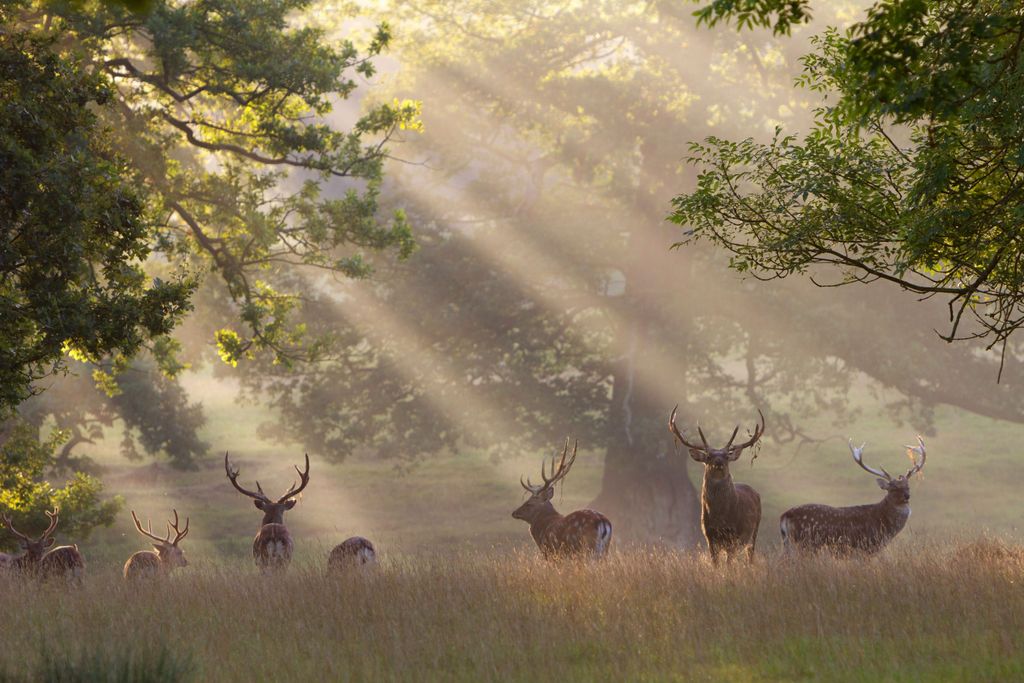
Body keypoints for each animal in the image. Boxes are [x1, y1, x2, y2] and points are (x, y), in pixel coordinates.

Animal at [669, 406, 764, 563]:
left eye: (726, 456)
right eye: (708, 456)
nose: (718, 462)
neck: (720, 518)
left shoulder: (734, 536)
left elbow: (729, 564)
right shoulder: (709, 536)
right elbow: (716, 564)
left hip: (754, 531)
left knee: (750, 556)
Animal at [780, 437, 926, 555]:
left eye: (908, 486)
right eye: (893, 488)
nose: (907, 496)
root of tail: (785, 515)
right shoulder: (864, 546)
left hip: (789, 543)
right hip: (805, 542)